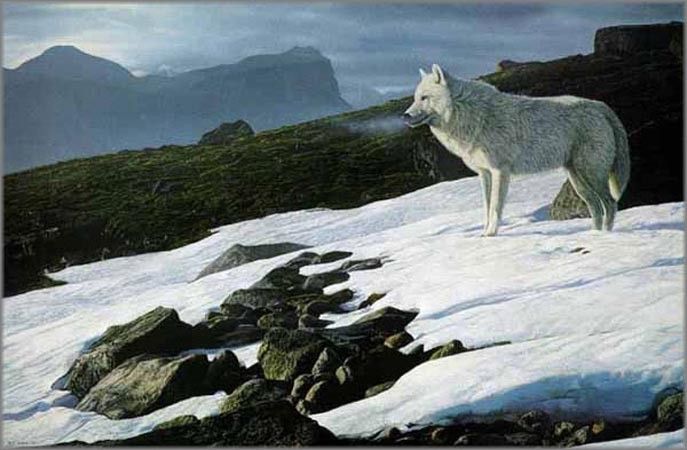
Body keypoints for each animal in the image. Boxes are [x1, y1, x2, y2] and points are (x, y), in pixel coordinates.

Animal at [403, 64, 630, 236]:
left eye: (424, 98)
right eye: (415, 98)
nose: (405, 116)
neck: (472, 115)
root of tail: (600, 105)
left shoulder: (500, 172)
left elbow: (495, 208)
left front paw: (491, 234)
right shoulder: (484, 173)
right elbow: (486, 207)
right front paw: (484, 234)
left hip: (591, 174)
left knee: (610, 204)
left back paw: (606, 236)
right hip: (578, 181)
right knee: (596, 208)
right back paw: (594, 234)